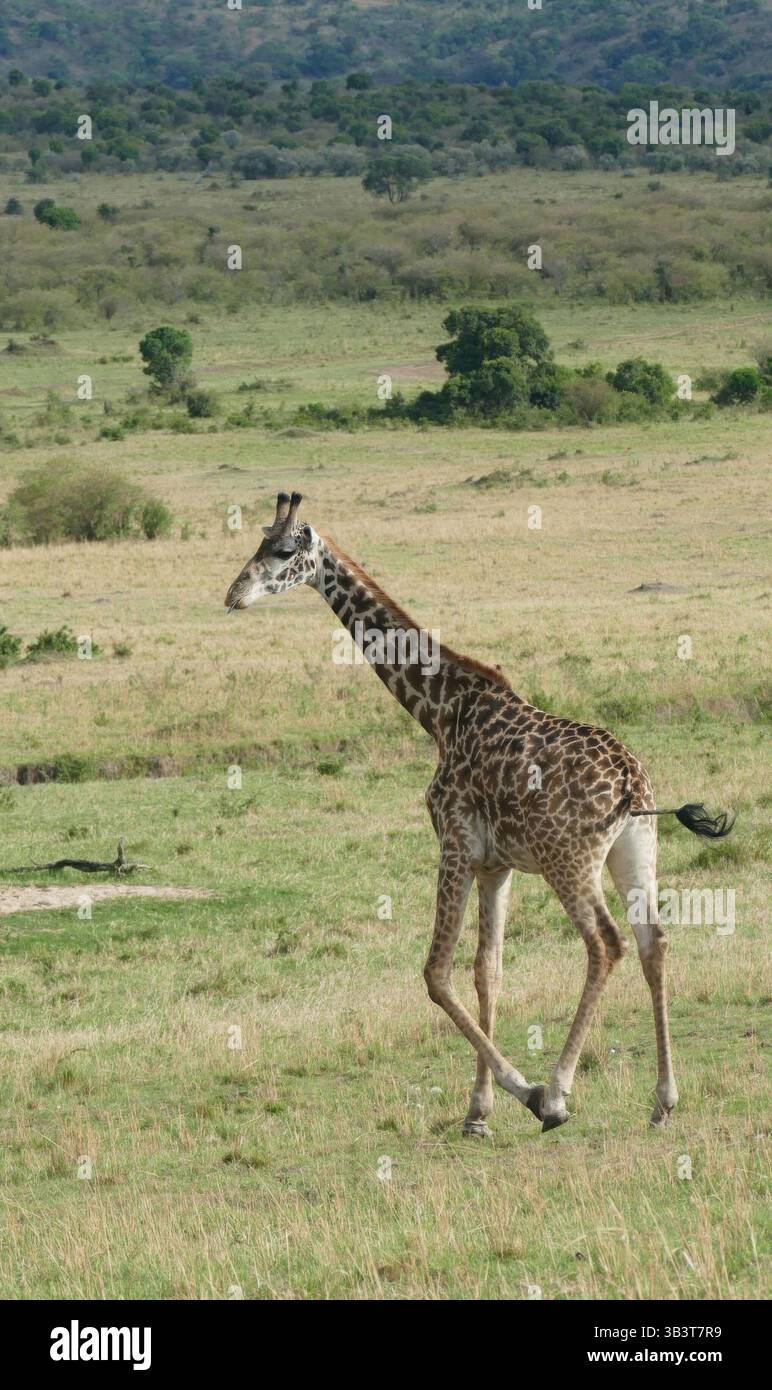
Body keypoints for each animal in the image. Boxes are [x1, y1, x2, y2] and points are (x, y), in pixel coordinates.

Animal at [226, 492, 734, 1134]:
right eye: (258, 543)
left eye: (282, 551)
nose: (233, 595)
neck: (440, 711)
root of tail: (628, 782)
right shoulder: (497, 864)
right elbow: (486, 970)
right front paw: (478, 1111)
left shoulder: (455, 844)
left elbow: (436, 973)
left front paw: (528, 1092)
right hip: (634, 851)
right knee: (653, 941)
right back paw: (663, 1100)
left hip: (570, 861)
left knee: (606, 944)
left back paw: (560, 1093)